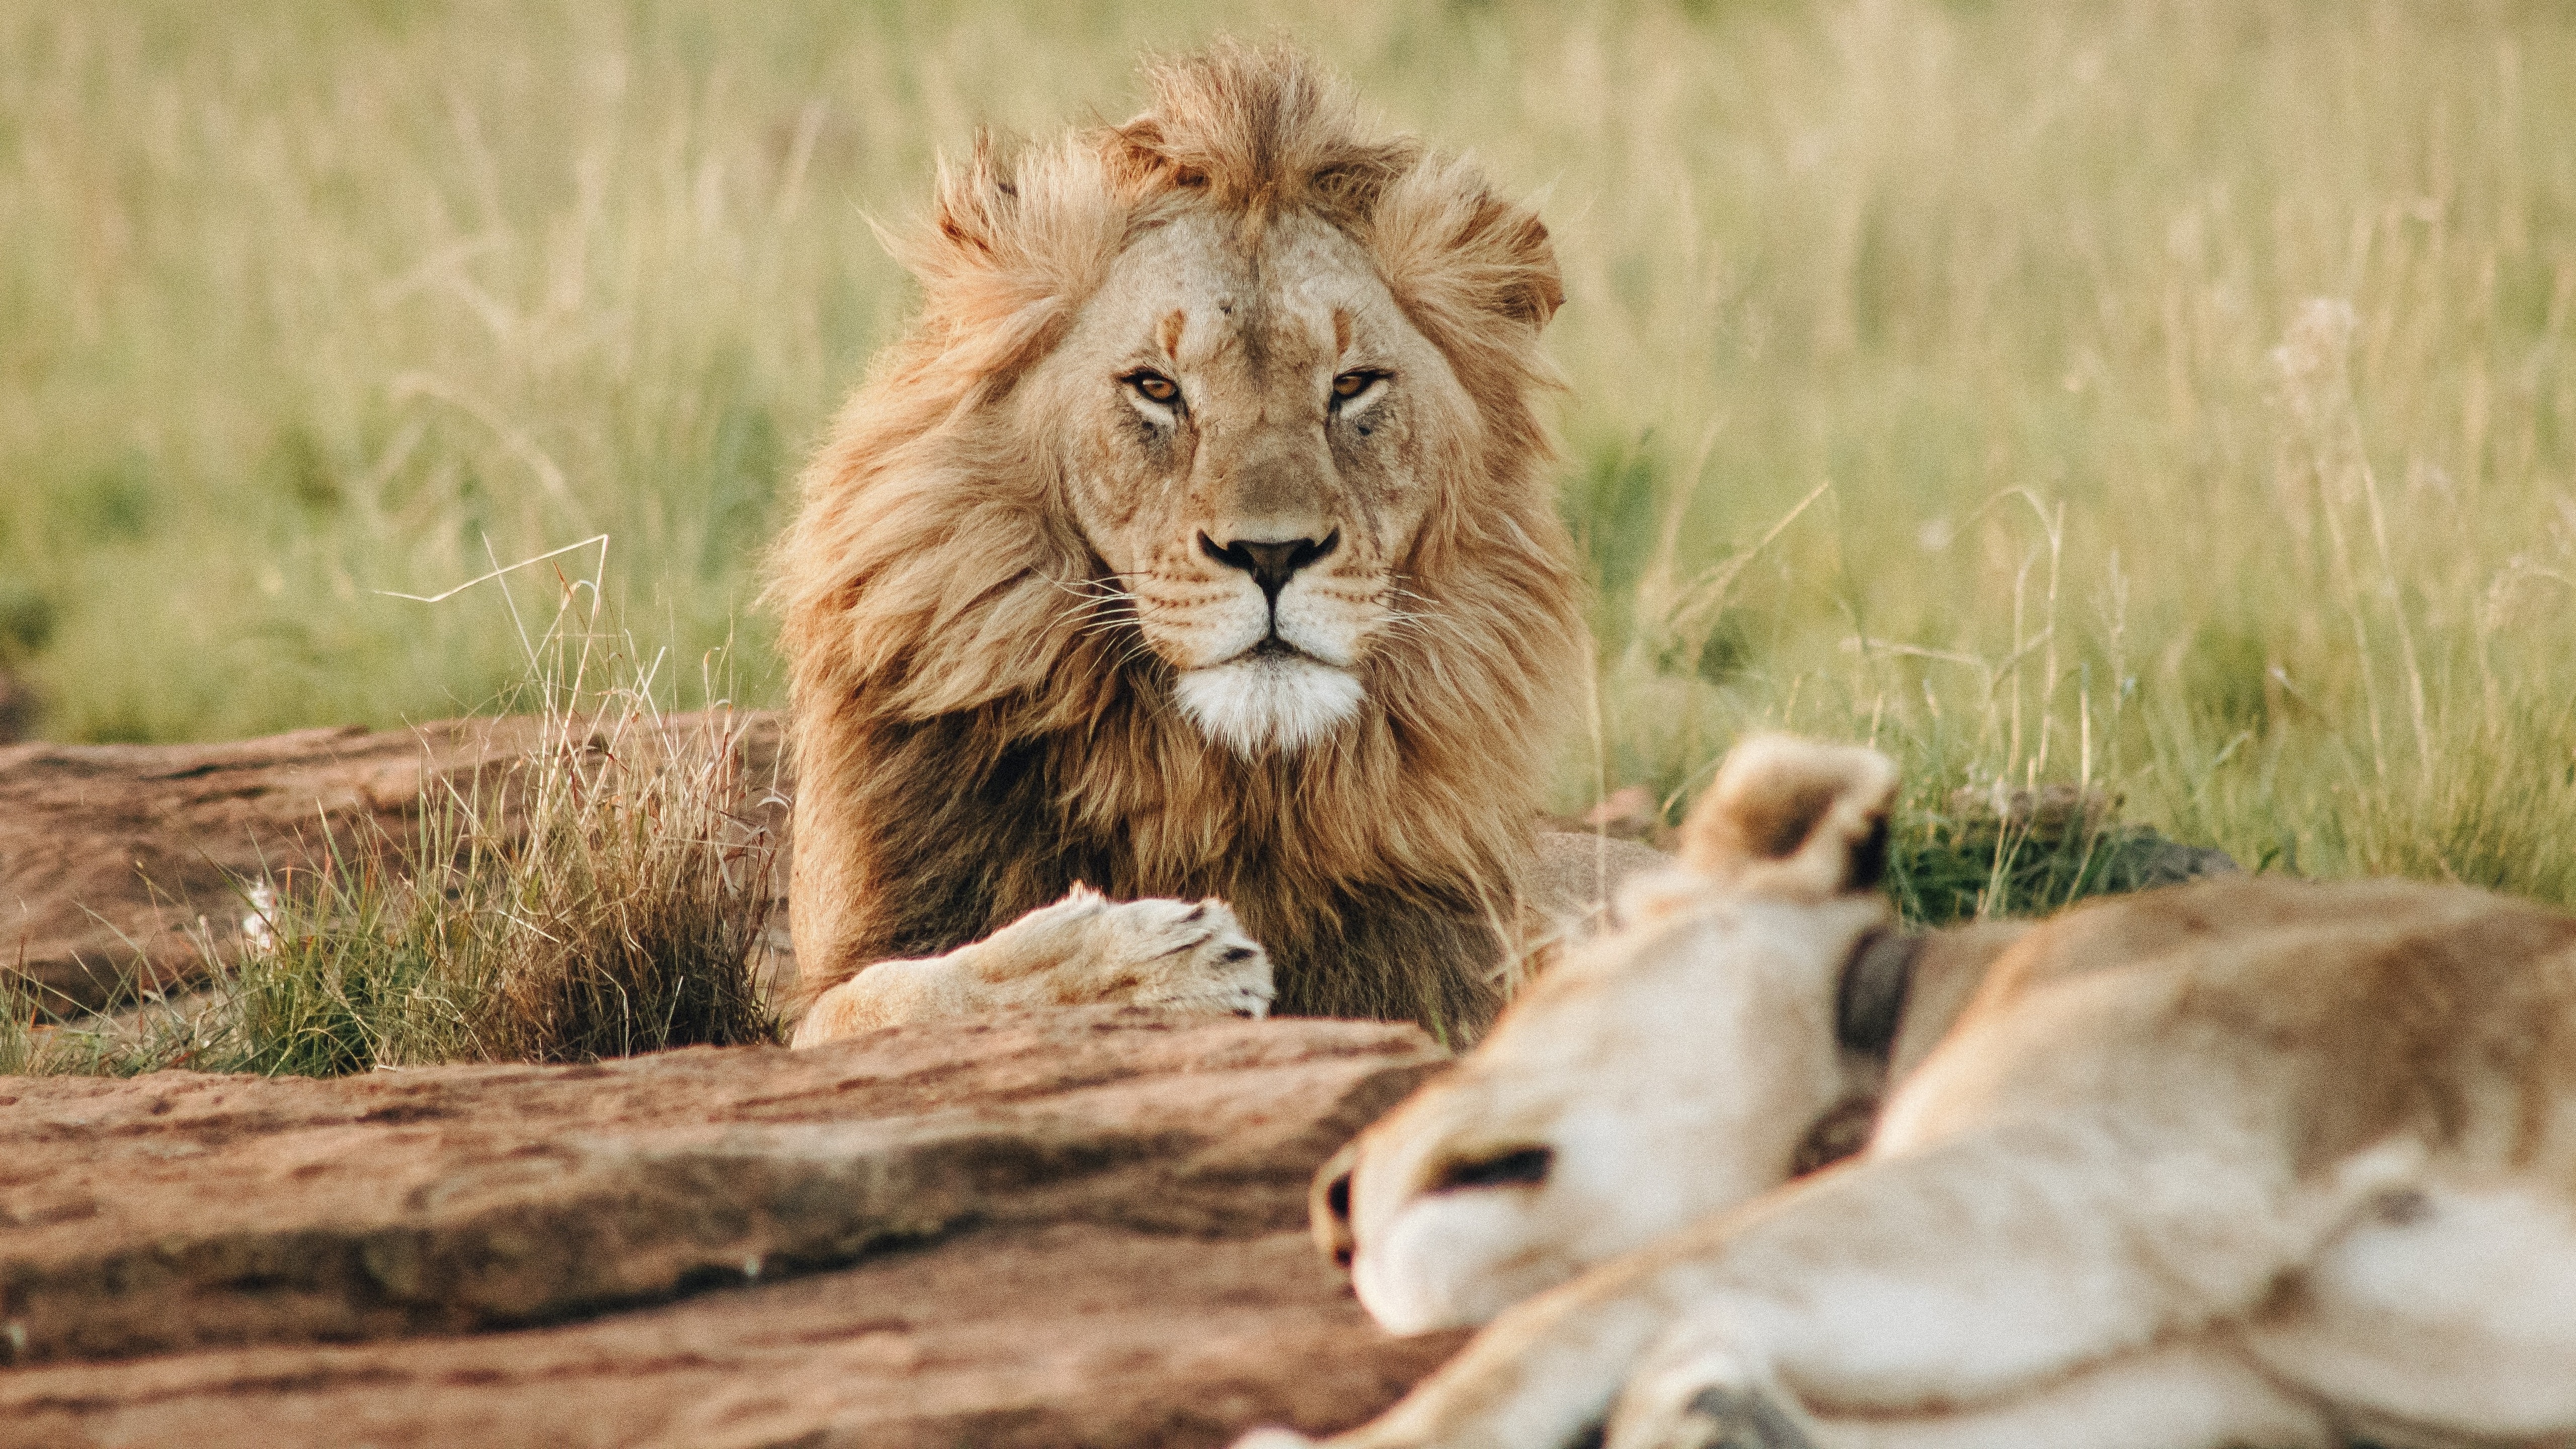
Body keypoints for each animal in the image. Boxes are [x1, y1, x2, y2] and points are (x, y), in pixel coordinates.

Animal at [770, 42, 1665, 1047]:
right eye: (1156, 387)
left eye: (1353, 385)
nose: (1272, 556)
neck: (1214, 784)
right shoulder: (834, 982)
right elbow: (900, 994)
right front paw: (1151, 962)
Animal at [1249, 734, 2576, 1448]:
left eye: (1525, 999)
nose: (1325, 1202)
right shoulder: (2230, 1385)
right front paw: (1715, 1411)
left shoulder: (2124, 1159)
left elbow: (1578, 1307)